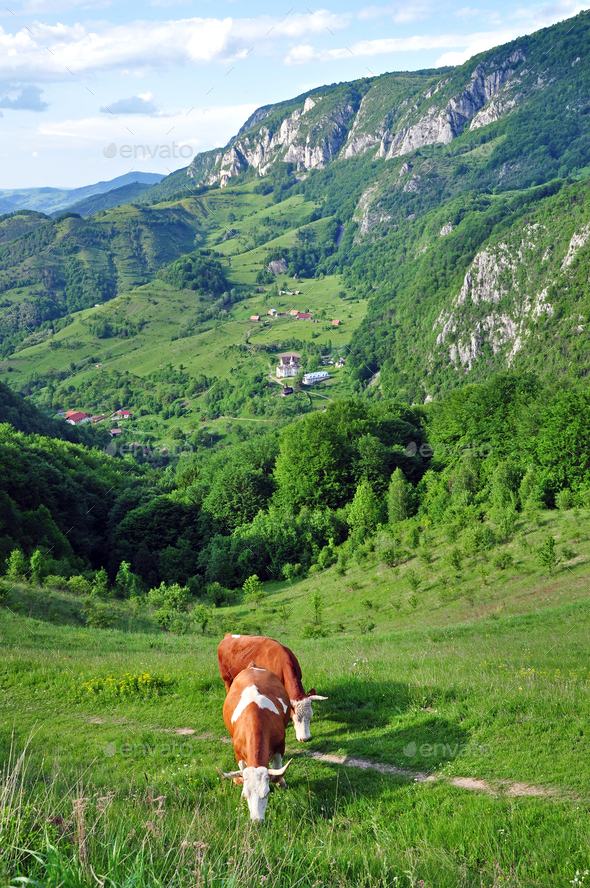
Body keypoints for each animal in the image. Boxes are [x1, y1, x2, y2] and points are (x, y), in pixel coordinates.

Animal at [217, 665, 293, 822]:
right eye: (246, 795)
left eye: (267, 793)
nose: (257, 821)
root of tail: (252, 666)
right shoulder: (238, 755)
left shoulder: (280, 746)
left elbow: (277, 767)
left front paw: (281, 783)